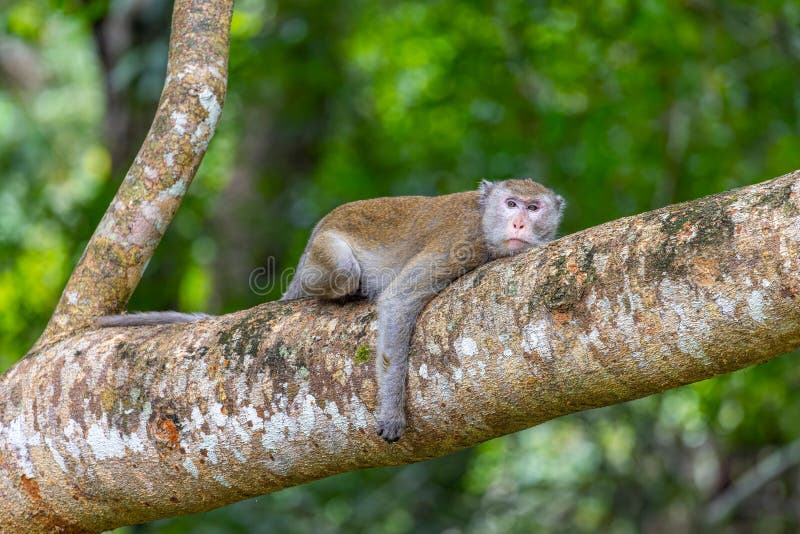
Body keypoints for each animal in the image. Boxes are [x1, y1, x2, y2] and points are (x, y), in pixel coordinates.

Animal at [96, 179, 565, 443]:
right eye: (511, 204)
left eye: (533, 207)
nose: (520, 223)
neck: (485, 225)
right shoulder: (461, 243)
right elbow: (398, 301)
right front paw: (392, 413)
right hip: (321, 260)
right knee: (344, 274)